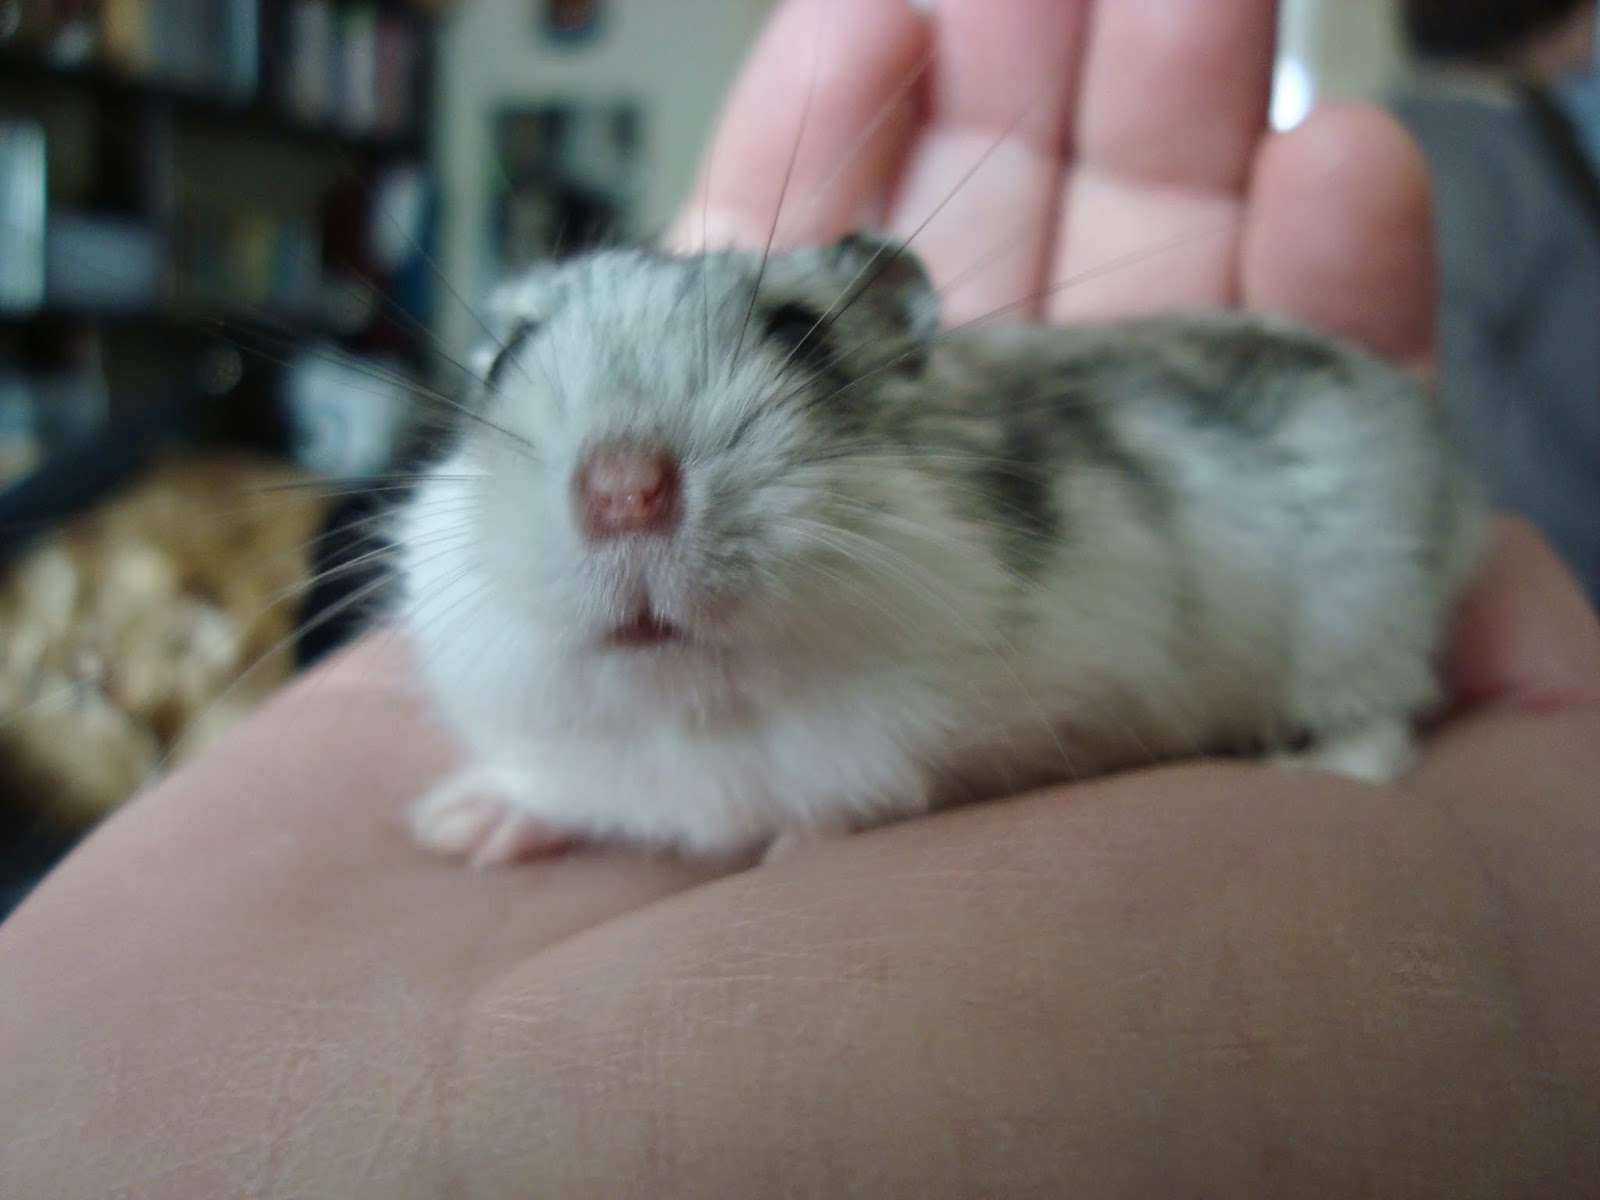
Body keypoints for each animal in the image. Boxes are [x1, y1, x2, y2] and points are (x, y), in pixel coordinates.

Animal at [393, 233, 1486, 866]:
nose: (624, 492)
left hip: (1365, 613)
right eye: (504, 360)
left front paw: (797, 846)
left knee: (1389, 720)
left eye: (801, 336)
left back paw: (1314, 771)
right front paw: (450, 826)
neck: (702, 707)